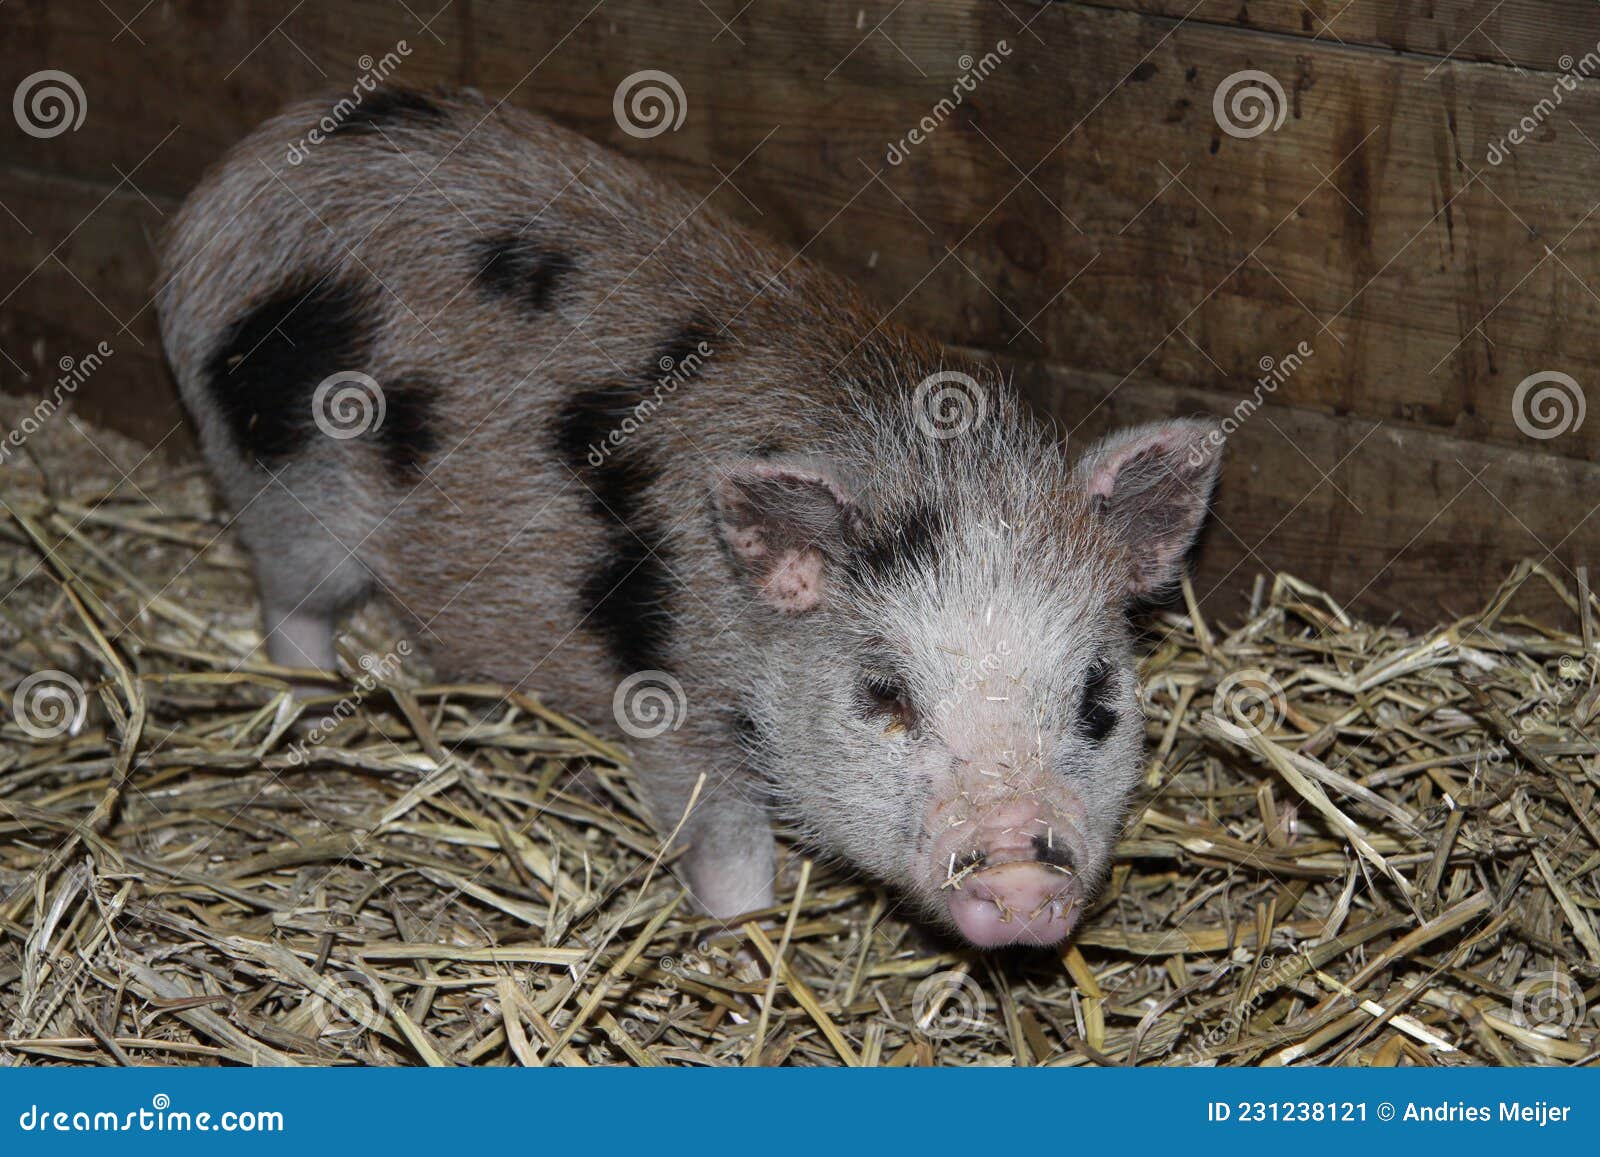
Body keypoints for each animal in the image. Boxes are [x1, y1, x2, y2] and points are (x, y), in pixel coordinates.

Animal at [156, 87, 1221, 948]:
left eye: (1097, 695)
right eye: (885, 694)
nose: (1025, 875)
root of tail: (242, 171)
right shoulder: (671, 697)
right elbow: (723, 839)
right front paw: (745, 942)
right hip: (284, 487)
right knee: (289, 606)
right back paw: (310, 703)